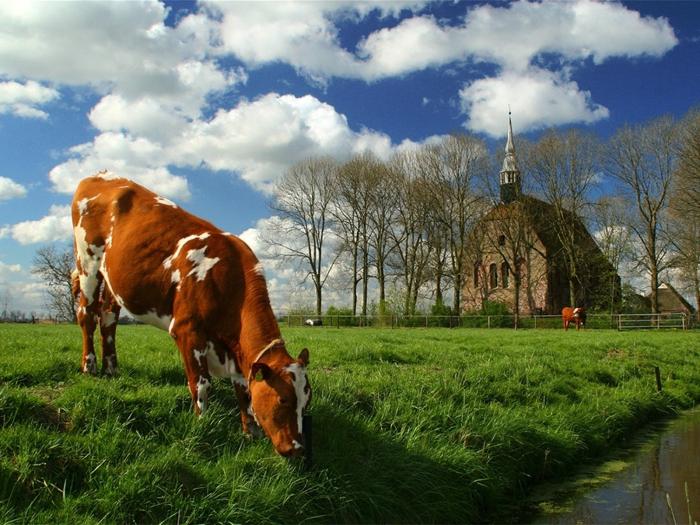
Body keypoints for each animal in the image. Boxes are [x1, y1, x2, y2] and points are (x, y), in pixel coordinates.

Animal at [72, 172, 312, 454]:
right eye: (283, 399)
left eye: (306, 400)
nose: (297, 448)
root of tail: (101, 174)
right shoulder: (187, 331)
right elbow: (201, 383)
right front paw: (202, 423)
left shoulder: (236, 353)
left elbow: (243, 390)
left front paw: (250, 432)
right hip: (88, 263)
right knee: (87, 314)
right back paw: (90, 366)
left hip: (112, 278)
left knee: (108, 317)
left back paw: (112, 369)